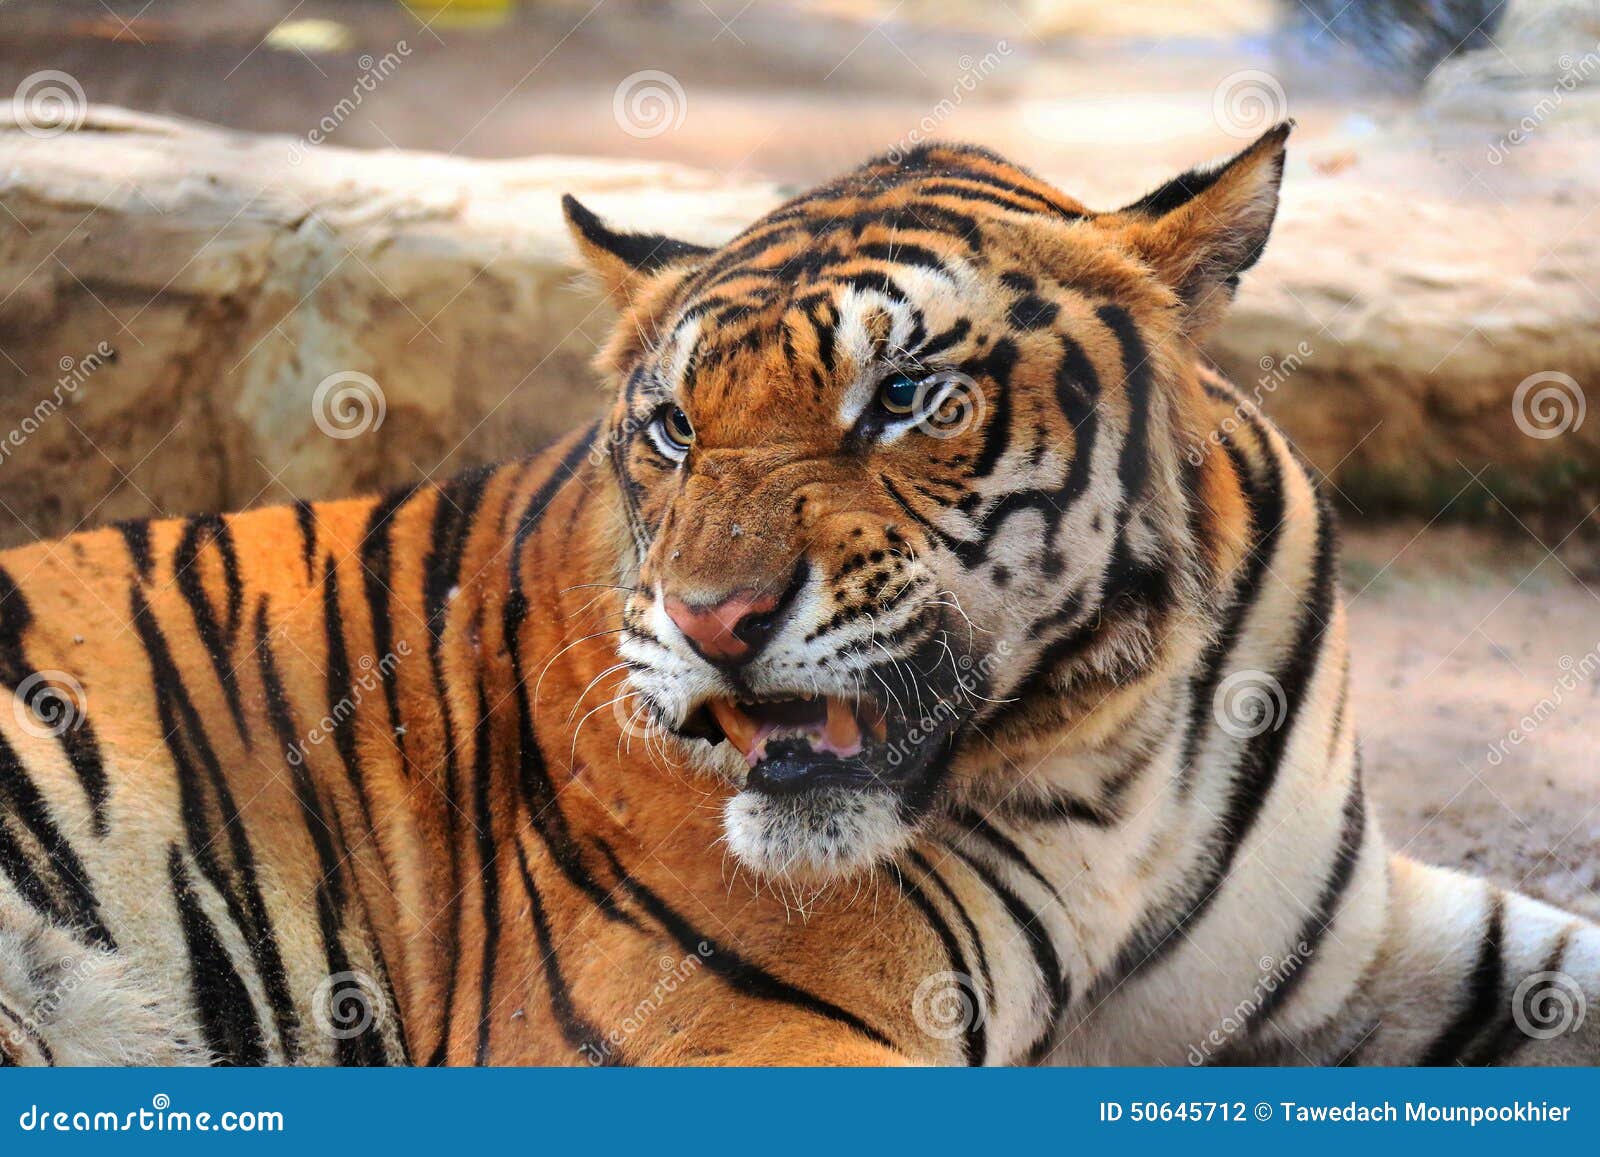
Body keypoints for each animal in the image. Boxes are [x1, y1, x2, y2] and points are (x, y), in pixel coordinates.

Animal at [2, 122, 1597, 1067]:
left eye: (903, 398)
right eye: (671, 428)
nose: (715, 621)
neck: (1111, 752)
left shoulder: (1360, 947)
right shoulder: (732, 1039)